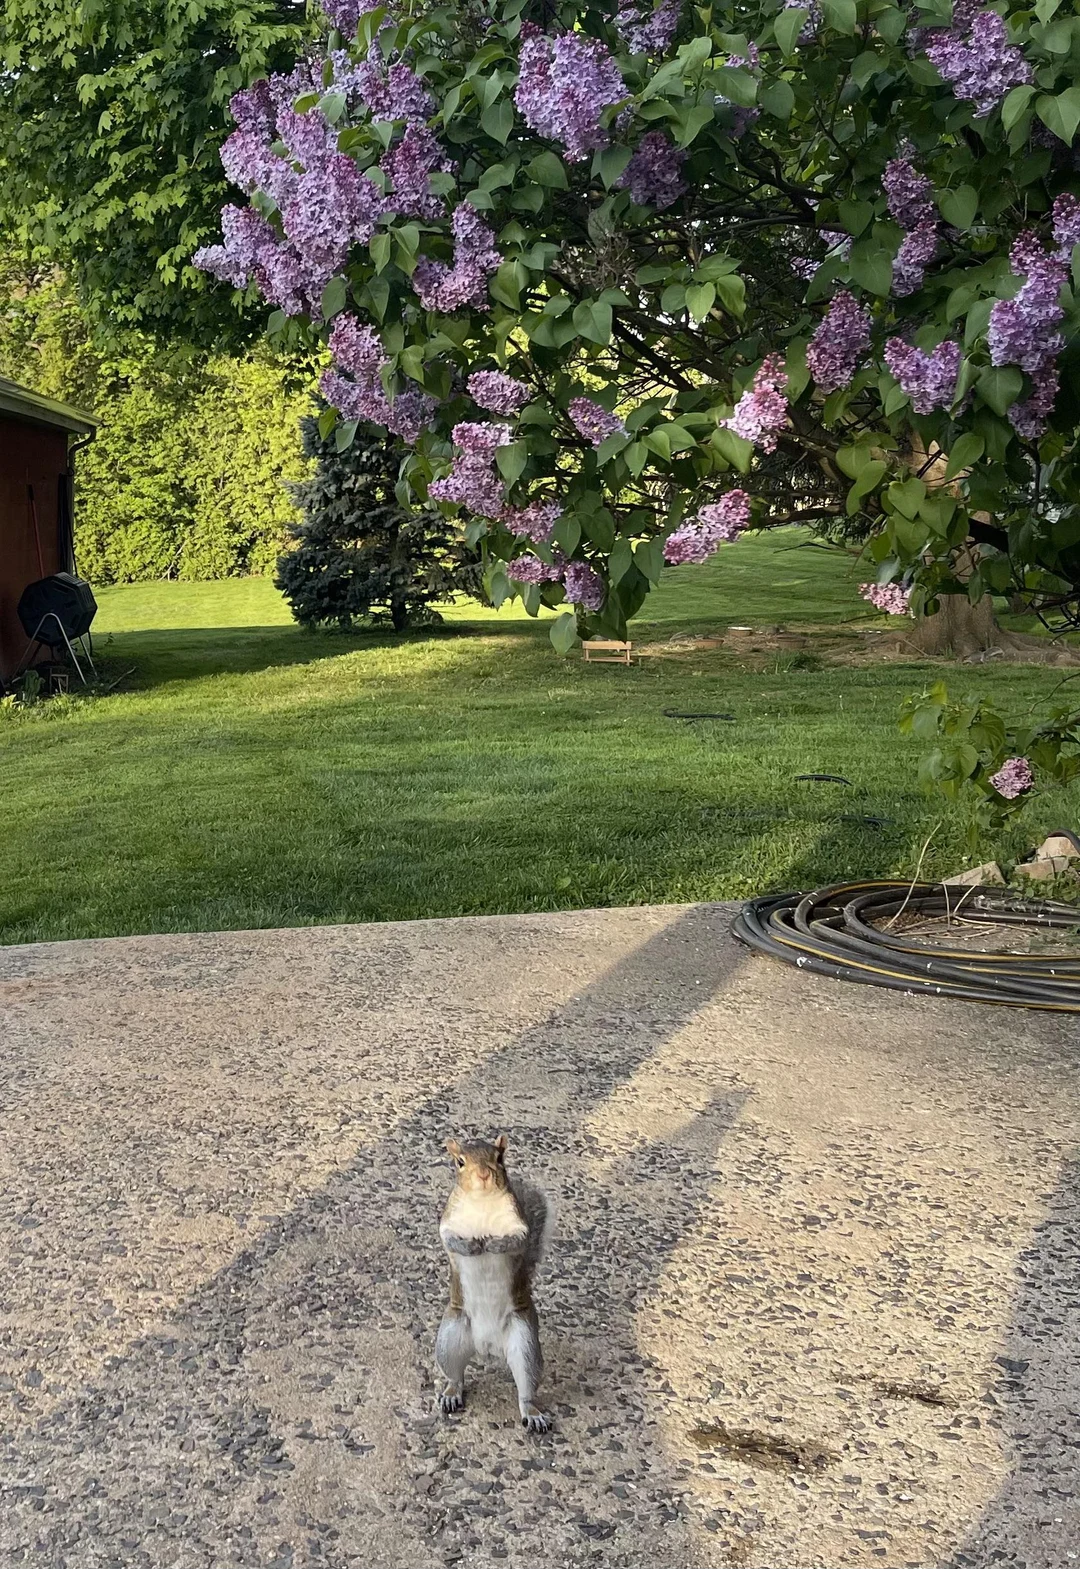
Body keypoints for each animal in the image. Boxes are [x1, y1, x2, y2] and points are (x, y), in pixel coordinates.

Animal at [435, 1135, 553, 1434]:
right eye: (459, 1162)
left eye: (499, 1158)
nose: (484, 1175)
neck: (482, 1201)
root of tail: (487, 1346)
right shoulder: (449, 1221)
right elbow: (449, 1238)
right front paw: (471, 1246)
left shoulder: (517, 1222)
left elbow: (517, 1239)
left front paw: (493, 1244)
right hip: (450, 1336)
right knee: (455, 1376)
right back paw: (451, 1394)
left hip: (525, 1342)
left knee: (526, 1388)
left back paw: (533, 1412)